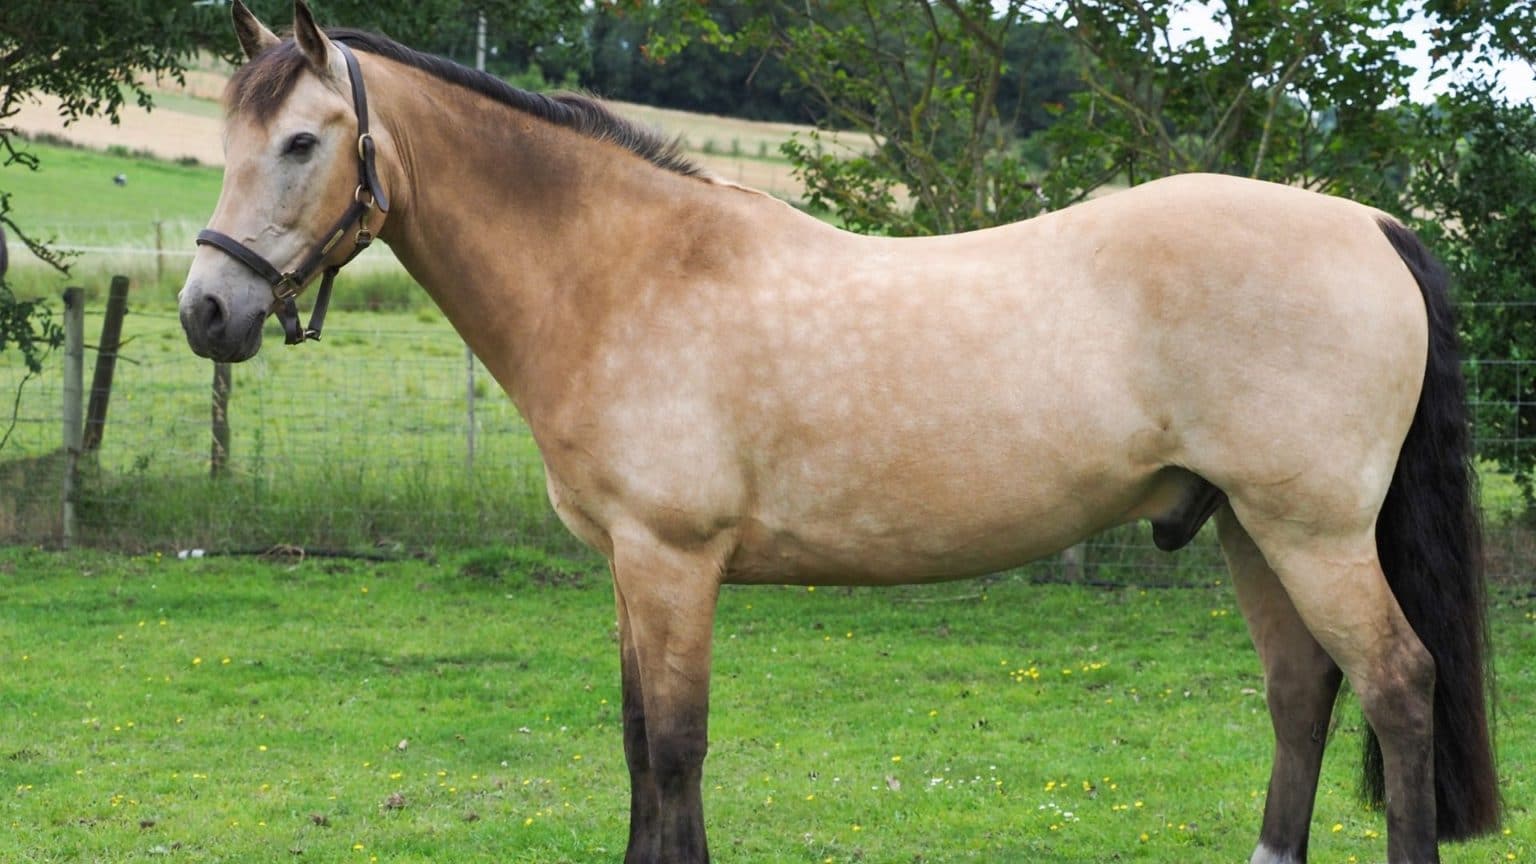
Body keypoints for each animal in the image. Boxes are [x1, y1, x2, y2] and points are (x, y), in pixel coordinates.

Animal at [179, 3, 1498, 862]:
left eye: (302, 142)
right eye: (230, 144)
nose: (208, 311)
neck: (630, 273)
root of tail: (1370, 224)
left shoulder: (673, 563)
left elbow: (673, 752)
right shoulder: (629, 571)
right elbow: (635, 746)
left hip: (1314, 532)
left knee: (1397, 688)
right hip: (1248, 529)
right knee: (1302, 692)